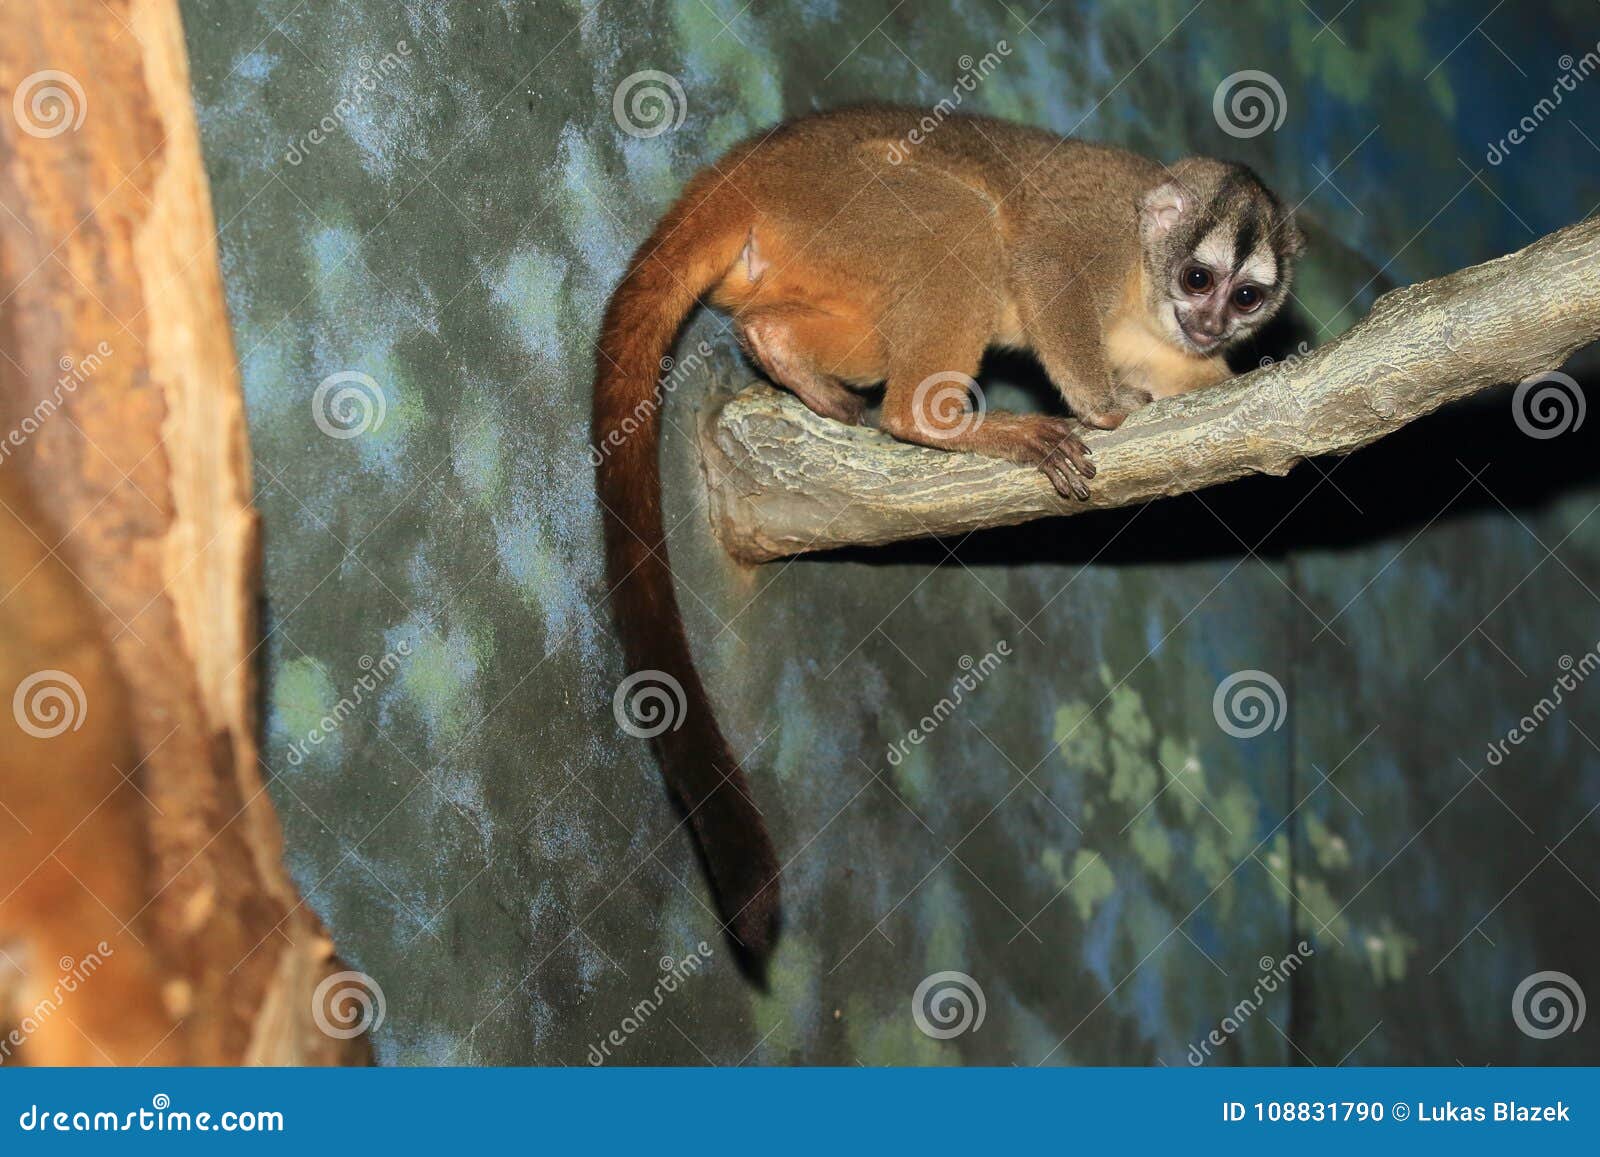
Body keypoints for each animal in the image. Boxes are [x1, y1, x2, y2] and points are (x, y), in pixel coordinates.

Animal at [593, 106, 1303, 975]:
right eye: (1199, 279)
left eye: (1247, 296)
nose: (1209, 322)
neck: (1144, 282)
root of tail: (751, 164)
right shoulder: (1094, 230)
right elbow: (1042, 265)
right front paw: (1102, 408)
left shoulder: (1170, 349)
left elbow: (1192, 383)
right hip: (850, 201)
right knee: (968, 225)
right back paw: (937, 423)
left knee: (808, 324)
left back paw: (787, 358)